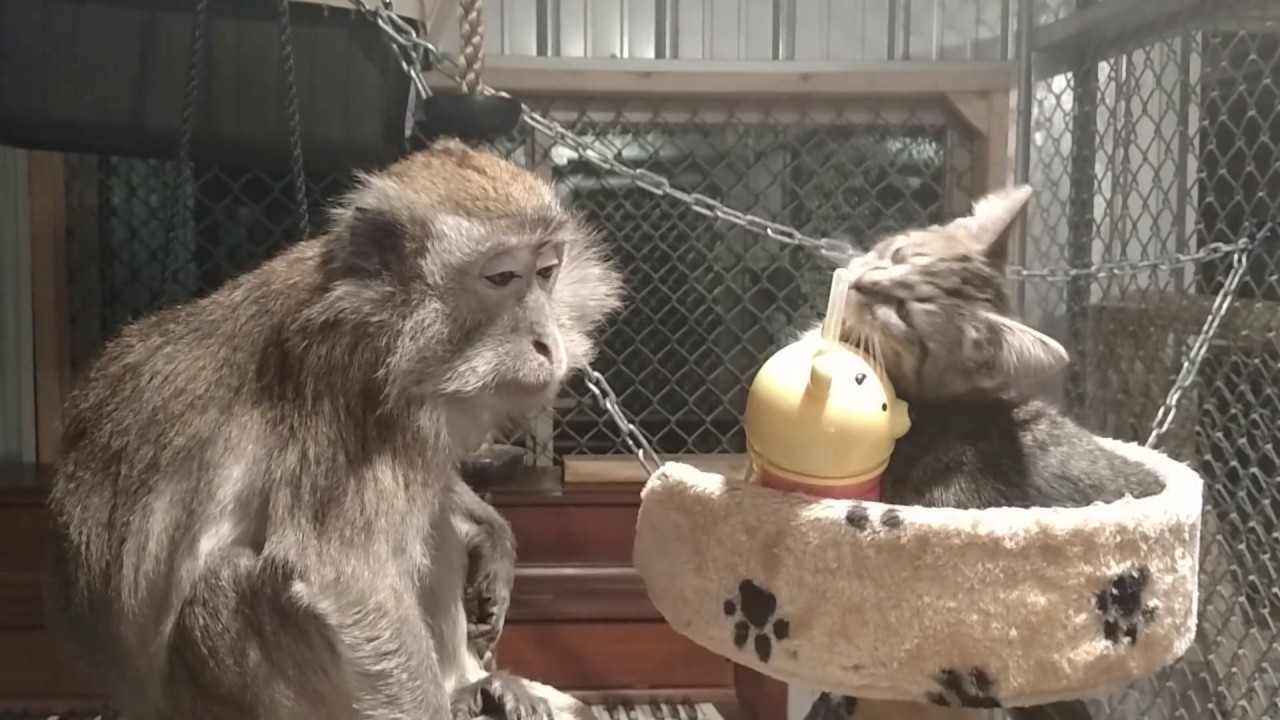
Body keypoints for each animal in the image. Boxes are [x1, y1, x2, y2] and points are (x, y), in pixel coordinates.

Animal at [41, 139, 624, 720]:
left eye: (546, 271)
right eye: (502, 278)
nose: (548, 342)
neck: (382, 325)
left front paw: (492, 535)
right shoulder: (345, 394)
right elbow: (350, 584)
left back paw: (469, 685)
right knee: (225, 583)